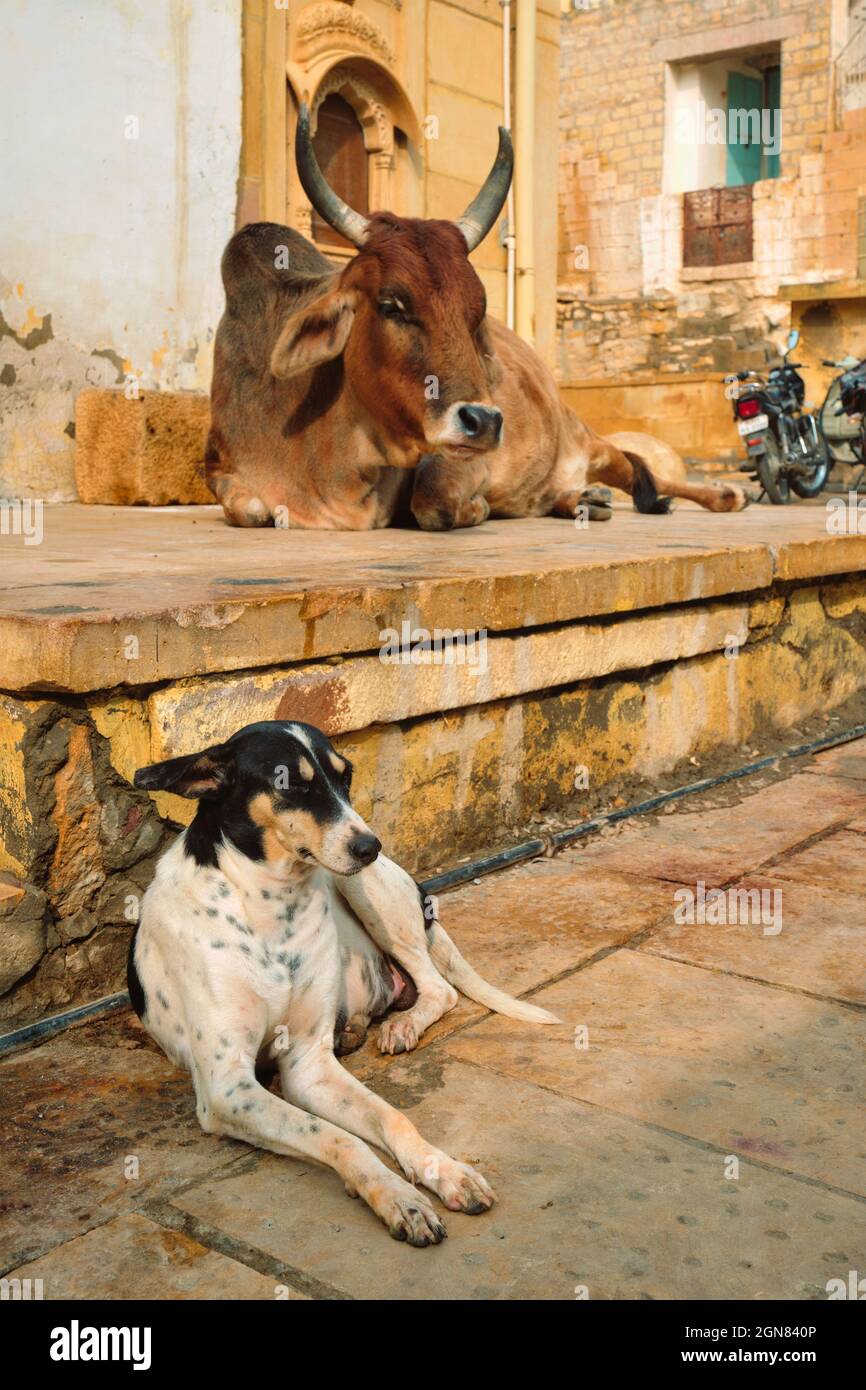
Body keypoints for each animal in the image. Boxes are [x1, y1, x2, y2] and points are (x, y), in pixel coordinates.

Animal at [206, 105, 747, 530]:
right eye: (391, 304)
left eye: (478, 313)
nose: (484, 421)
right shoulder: (221, 467)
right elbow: (248, 507)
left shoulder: (451, 461)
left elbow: (433, 503)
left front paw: (481, 508)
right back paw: (584, 500)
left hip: (590, 442)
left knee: (643, 472)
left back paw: (724, 494)